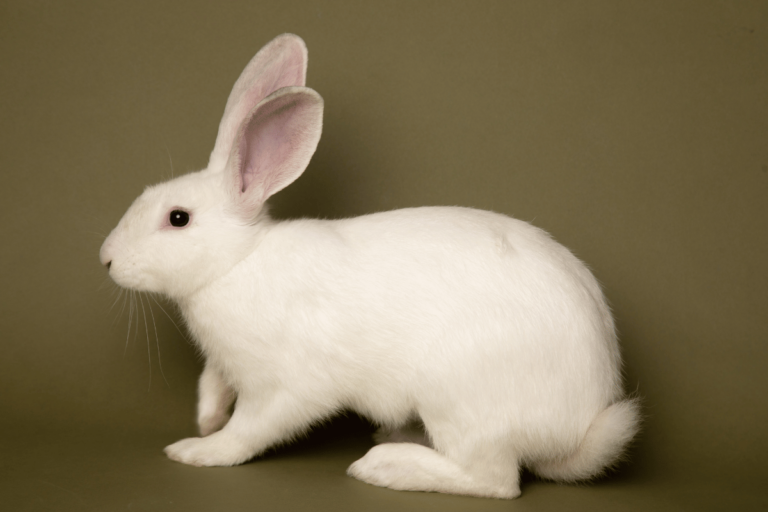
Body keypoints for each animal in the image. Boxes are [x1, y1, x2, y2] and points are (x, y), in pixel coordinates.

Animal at [99, 33, 640, 499]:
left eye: (178, 218)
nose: (105, 259)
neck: (239, 261)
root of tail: (580, 425)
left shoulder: (284, 387)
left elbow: (250, 429)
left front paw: (199, 449)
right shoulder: (225, 366)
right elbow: (212, 384)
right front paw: (205, 419)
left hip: (460, 398)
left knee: (492, 478)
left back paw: (384, 466)